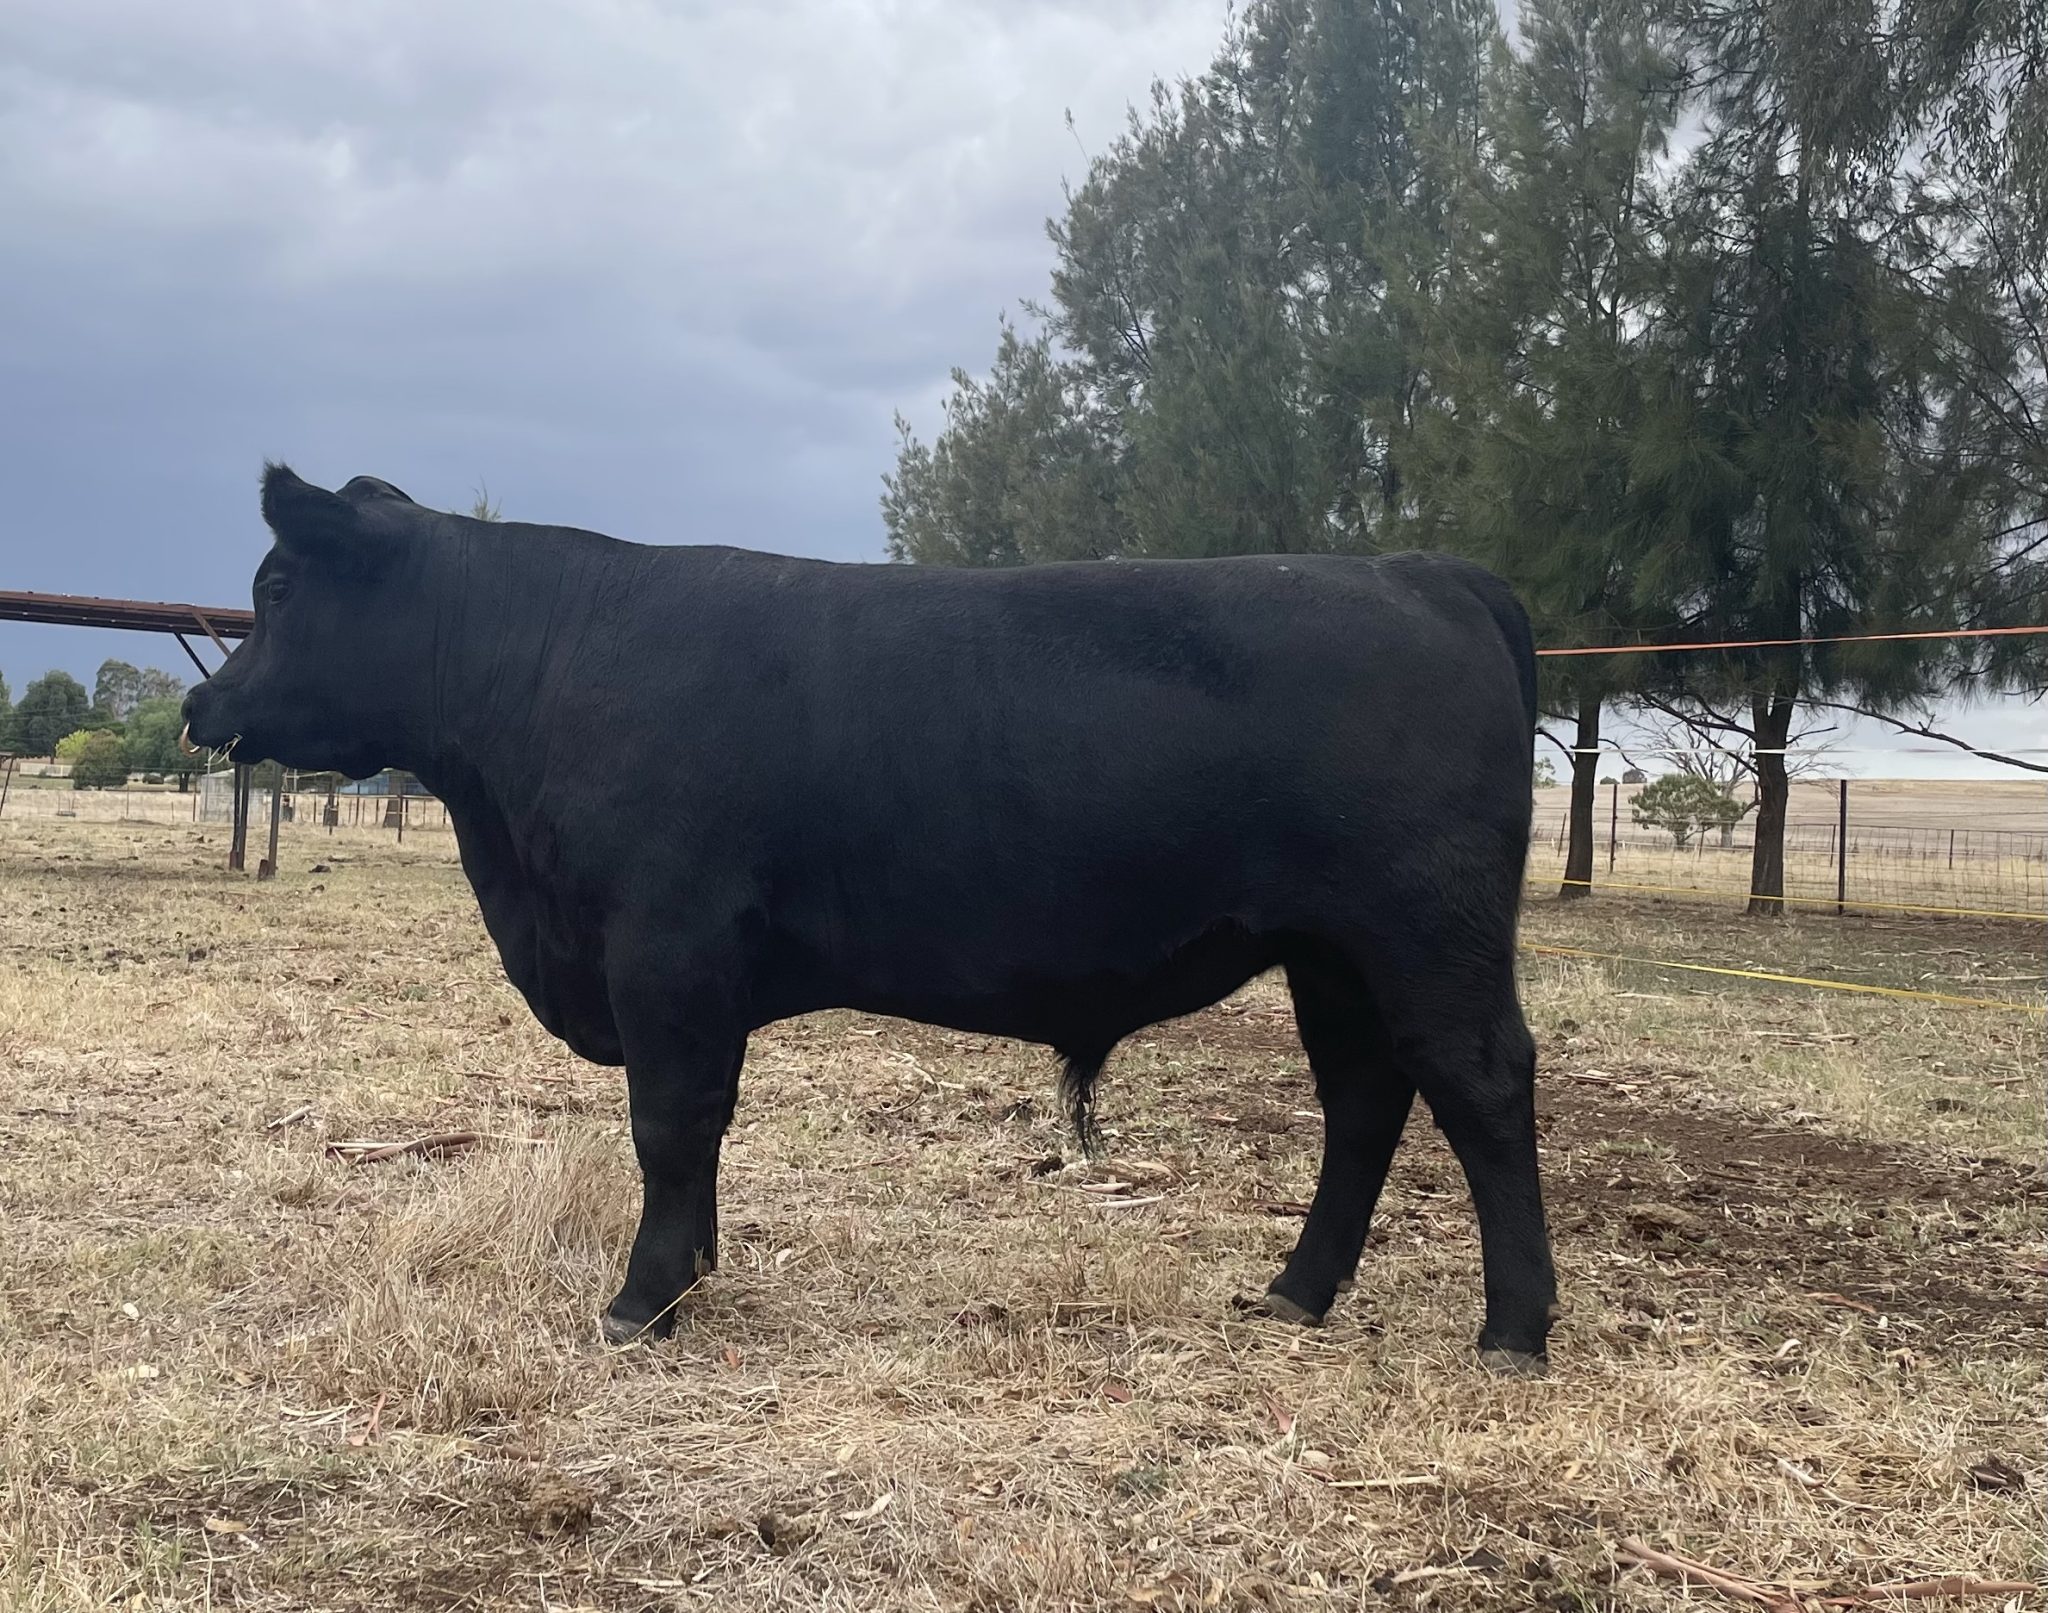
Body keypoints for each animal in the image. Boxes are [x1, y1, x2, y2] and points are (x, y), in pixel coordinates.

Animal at [183, 465, 1559, 1373]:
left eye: (279, 581)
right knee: (1364, 1098)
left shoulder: (667, 948)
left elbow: (668, 1122)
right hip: (1330, 954)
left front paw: (643, 1297)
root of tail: (1417, 571)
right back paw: (1294, 1291)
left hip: (1422, 931)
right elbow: (700, 1130)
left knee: (1481, 1087)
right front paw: (695, 1269)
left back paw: (1512, 1329)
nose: (203, 708)